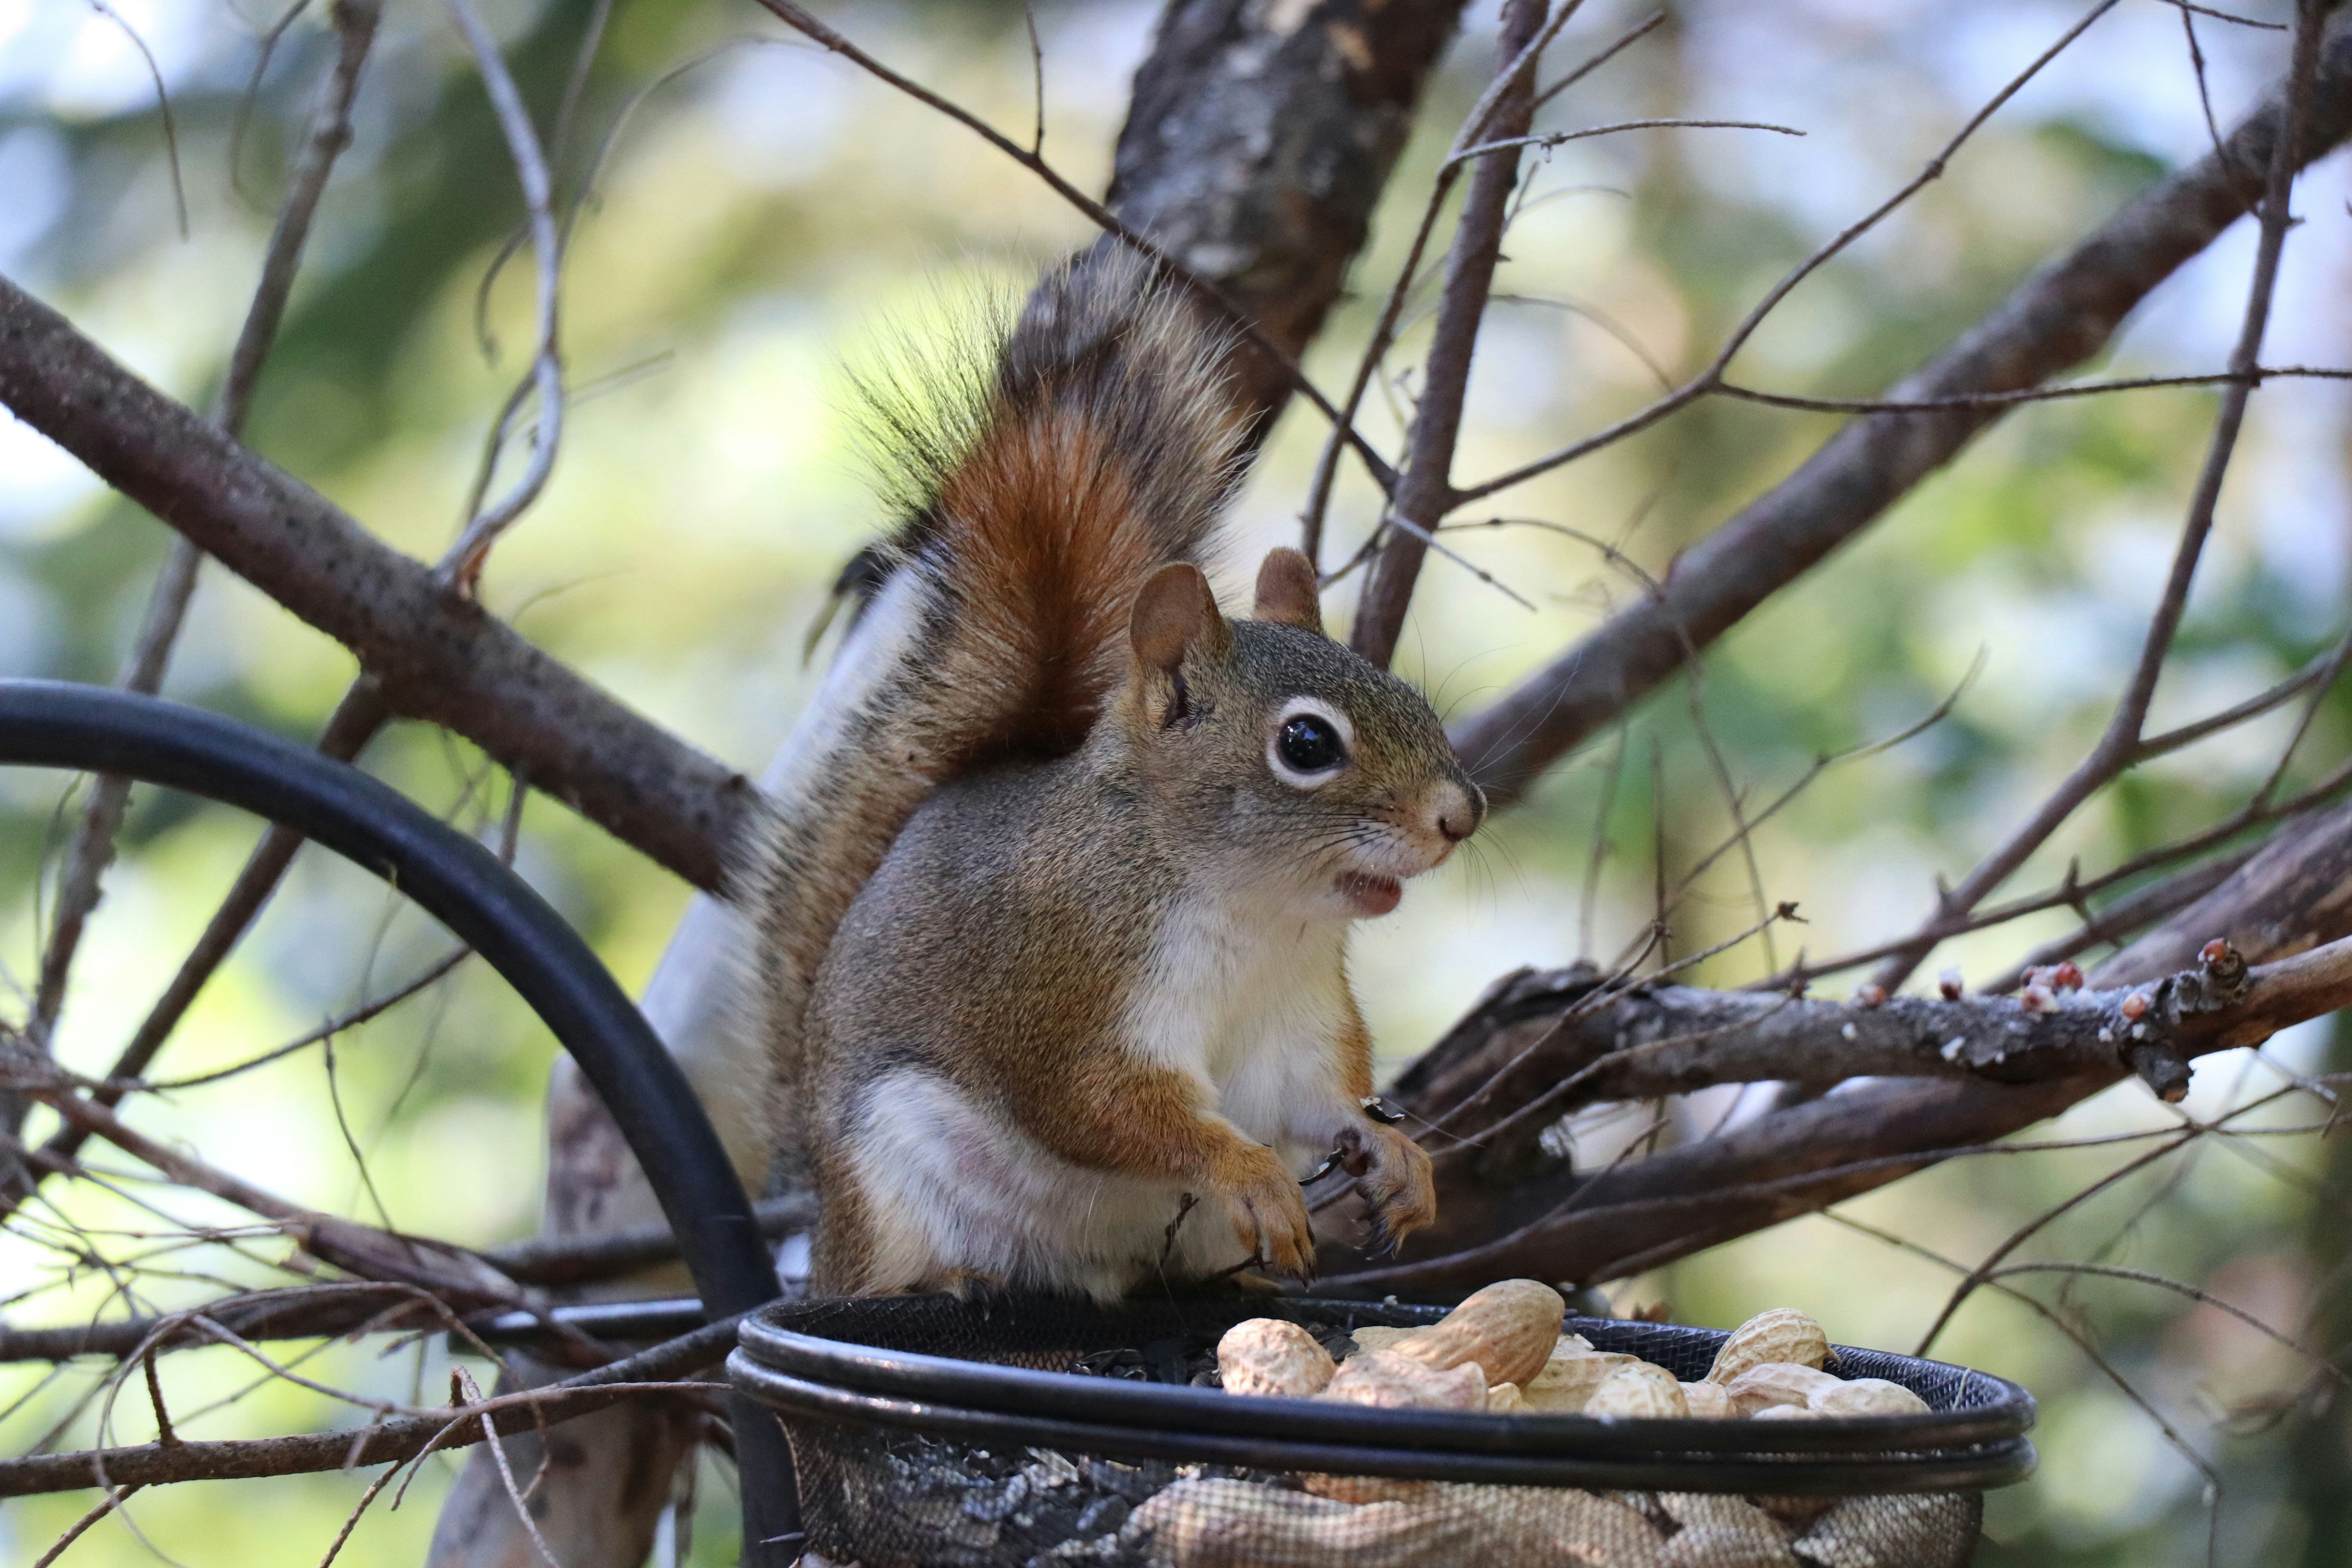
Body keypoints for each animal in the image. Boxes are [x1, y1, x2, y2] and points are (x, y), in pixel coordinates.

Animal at [739, 253, 1483, 1301]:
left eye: (1409, 694)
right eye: (1306, 743)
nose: (1462, 813)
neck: (1251, 910)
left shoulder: (1300, 1018)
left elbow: (1319, 1098)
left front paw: (1397, 1158)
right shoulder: (1068, 984)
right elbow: (1102, 1104)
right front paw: (1248, 1169)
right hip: (890, 1179)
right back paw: (950, 1280)